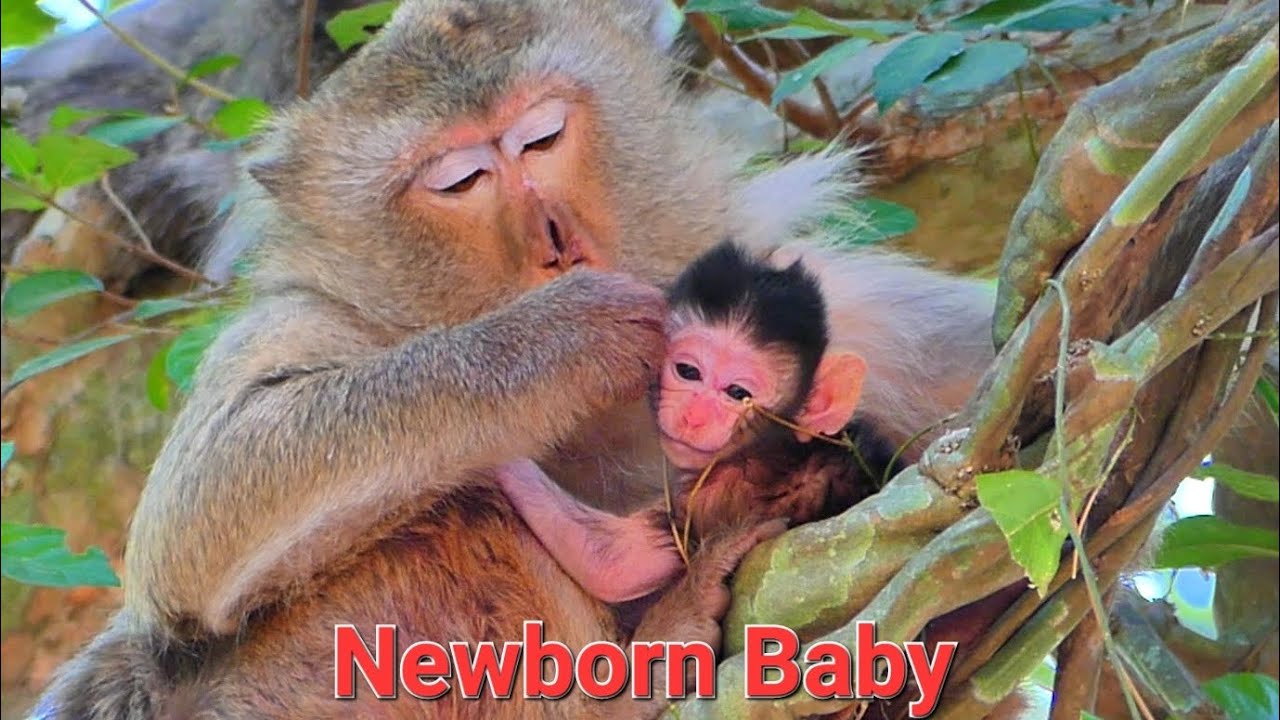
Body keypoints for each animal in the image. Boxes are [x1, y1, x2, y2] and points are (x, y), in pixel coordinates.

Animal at [31, 1, 997, 718]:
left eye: (542, 136)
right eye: (459, 180)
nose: (554, 241)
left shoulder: (859, 315)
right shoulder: (308, 321)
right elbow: (200, 516)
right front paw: (564, 334)